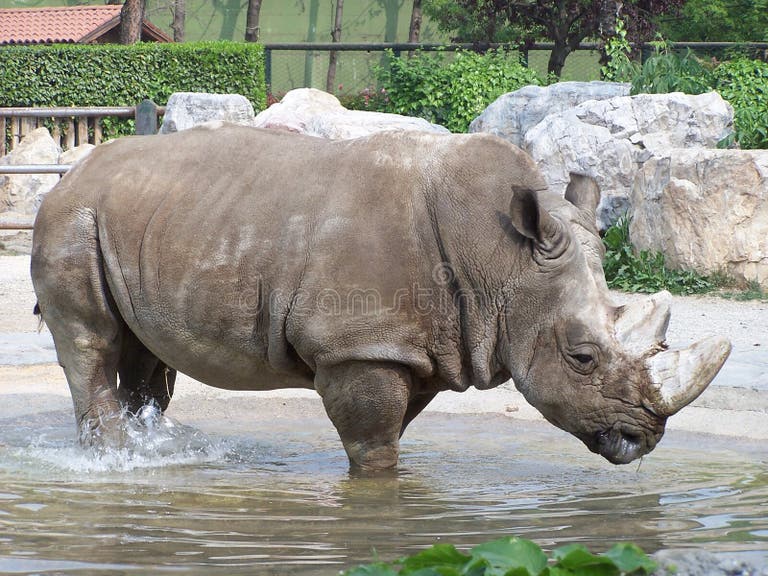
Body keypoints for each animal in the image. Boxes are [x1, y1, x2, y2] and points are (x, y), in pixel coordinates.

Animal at [30, 124, 730, 471]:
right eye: (582, 358)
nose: (644, 439)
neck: (503, 260)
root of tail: (71, 170)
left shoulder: (417, 348)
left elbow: (391, 436)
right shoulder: (359, 347)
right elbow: (374, 449)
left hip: (151, 220)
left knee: (146, 356)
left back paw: (151, 453)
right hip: (72, 218)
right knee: (91, 343)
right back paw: (115, 462)